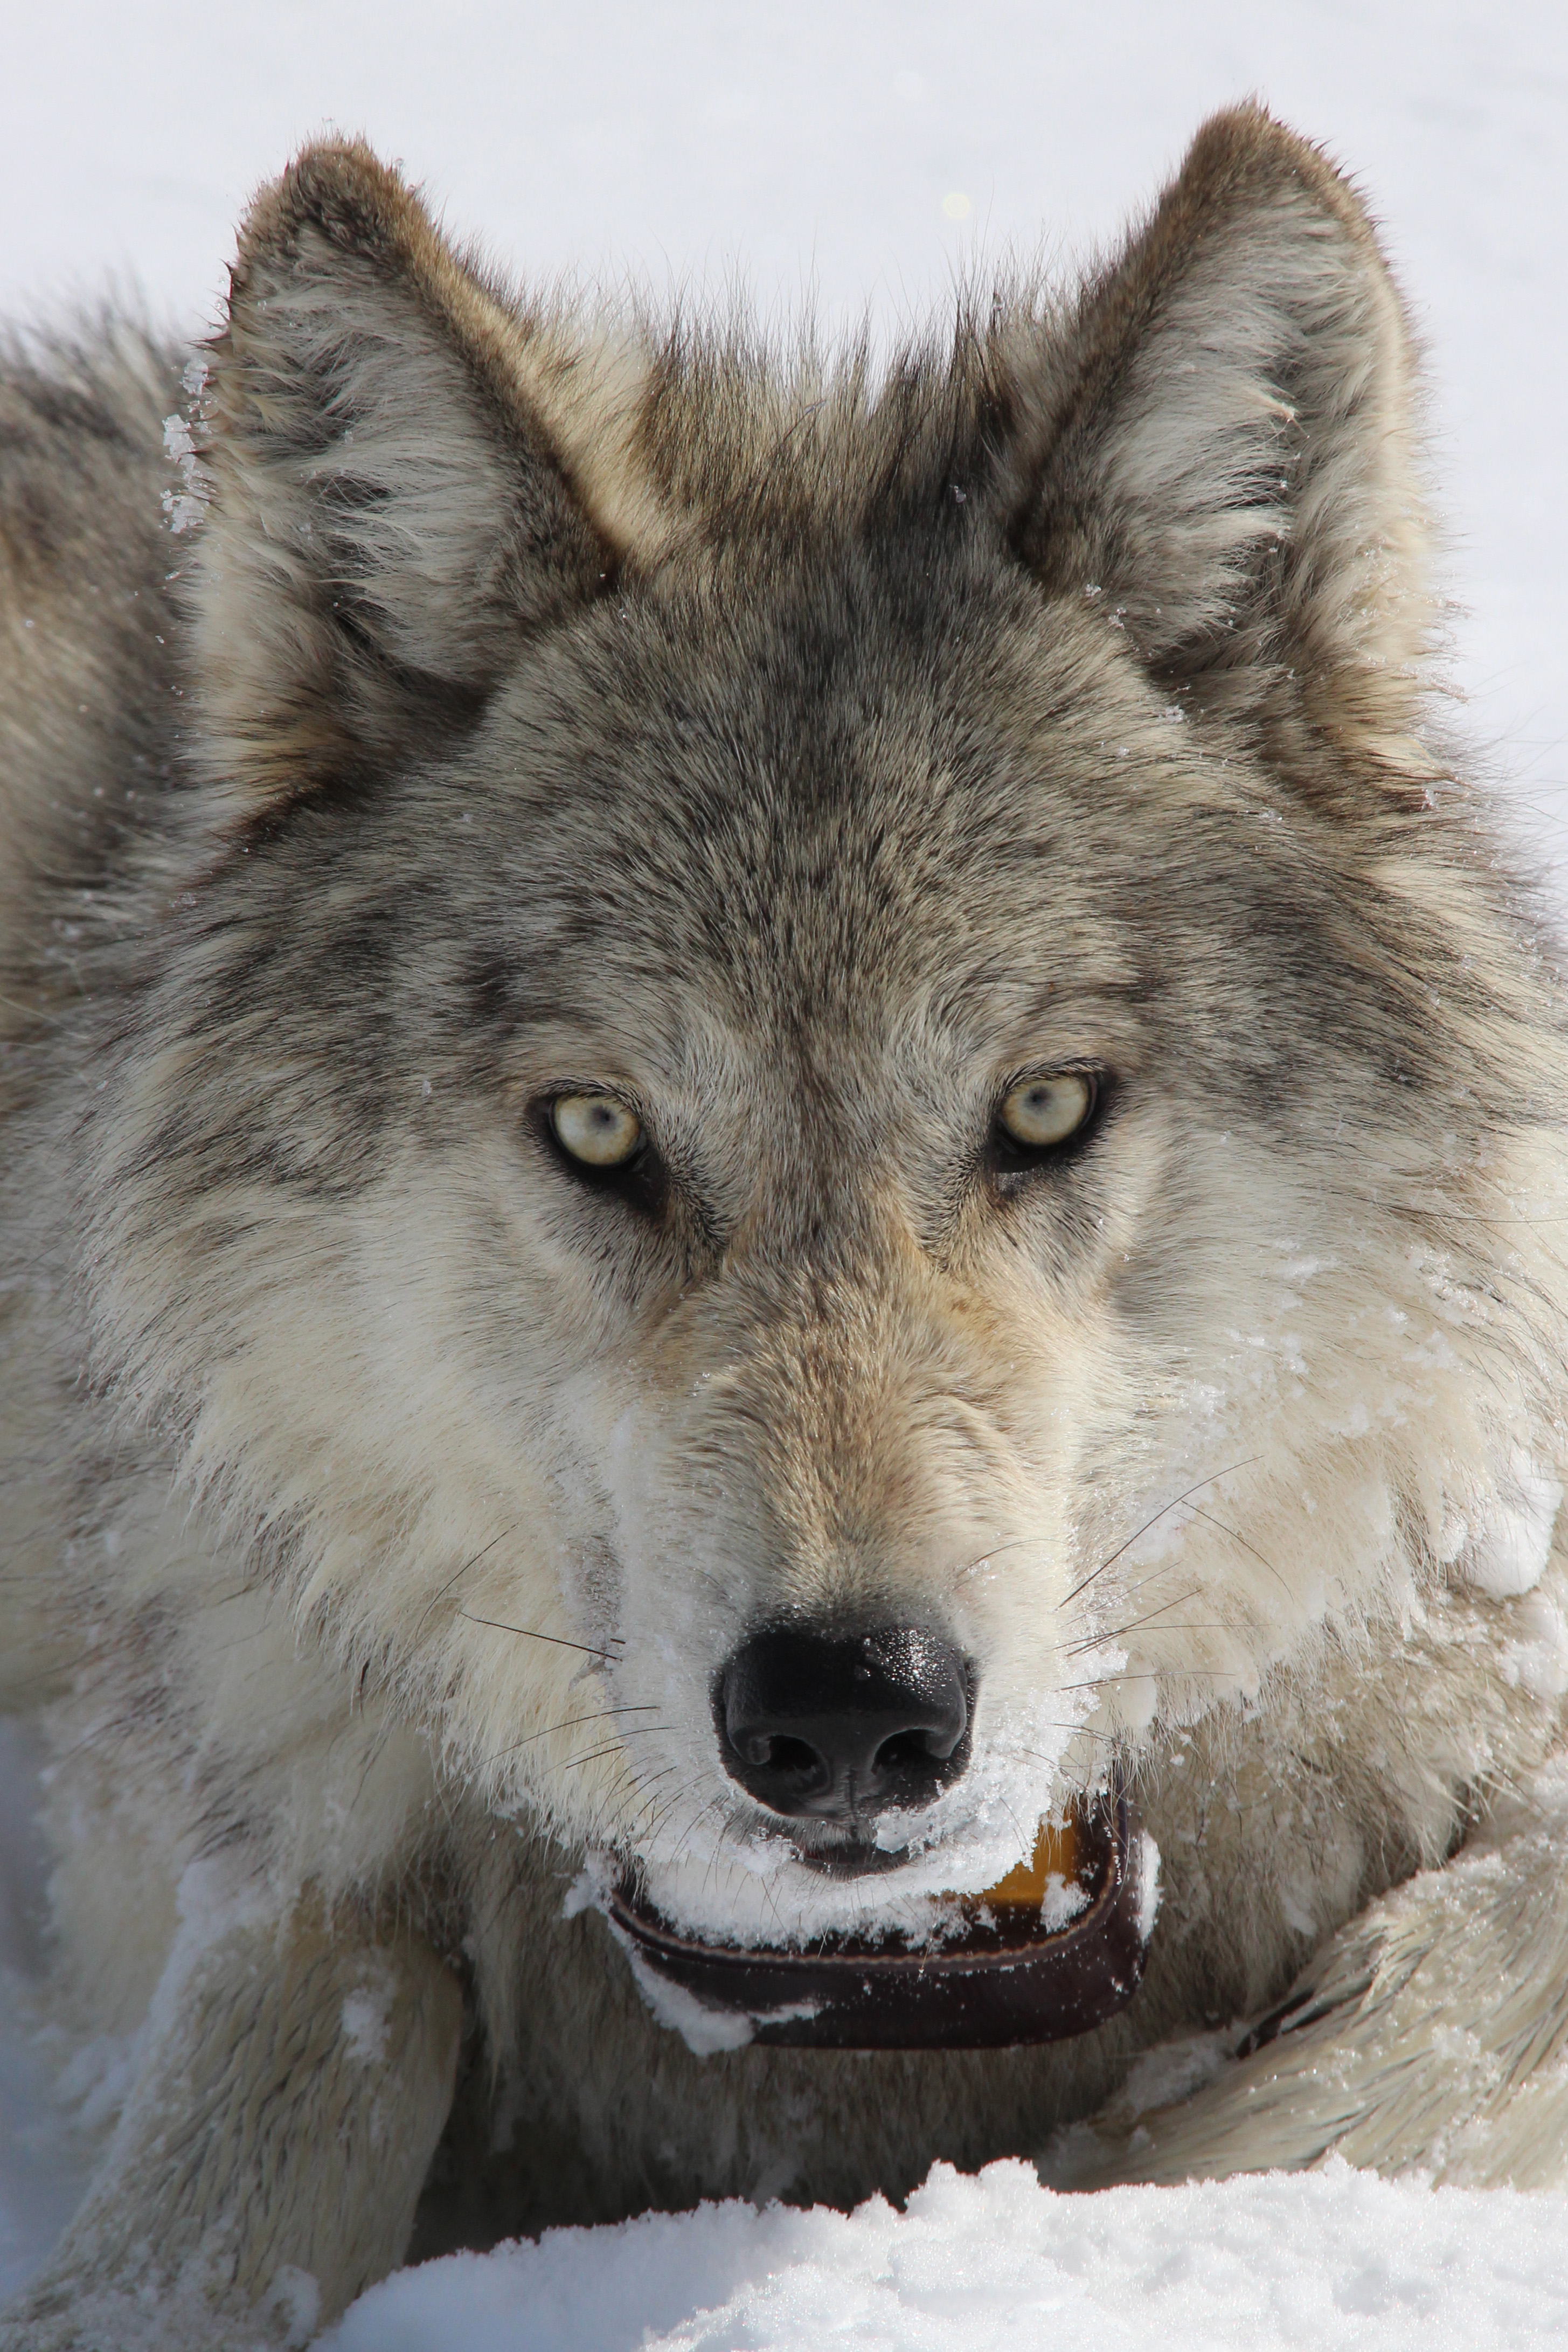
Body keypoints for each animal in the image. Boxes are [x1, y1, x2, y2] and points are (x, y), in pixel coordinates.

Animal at [4, 98, 1568, 2348]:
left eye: (1040, 1107)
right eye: (598, 1129)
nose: (843, 1713)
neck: (878, 1999)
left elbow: (1473, 1967)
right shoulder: (262, 1803)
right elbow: (303, 2043)